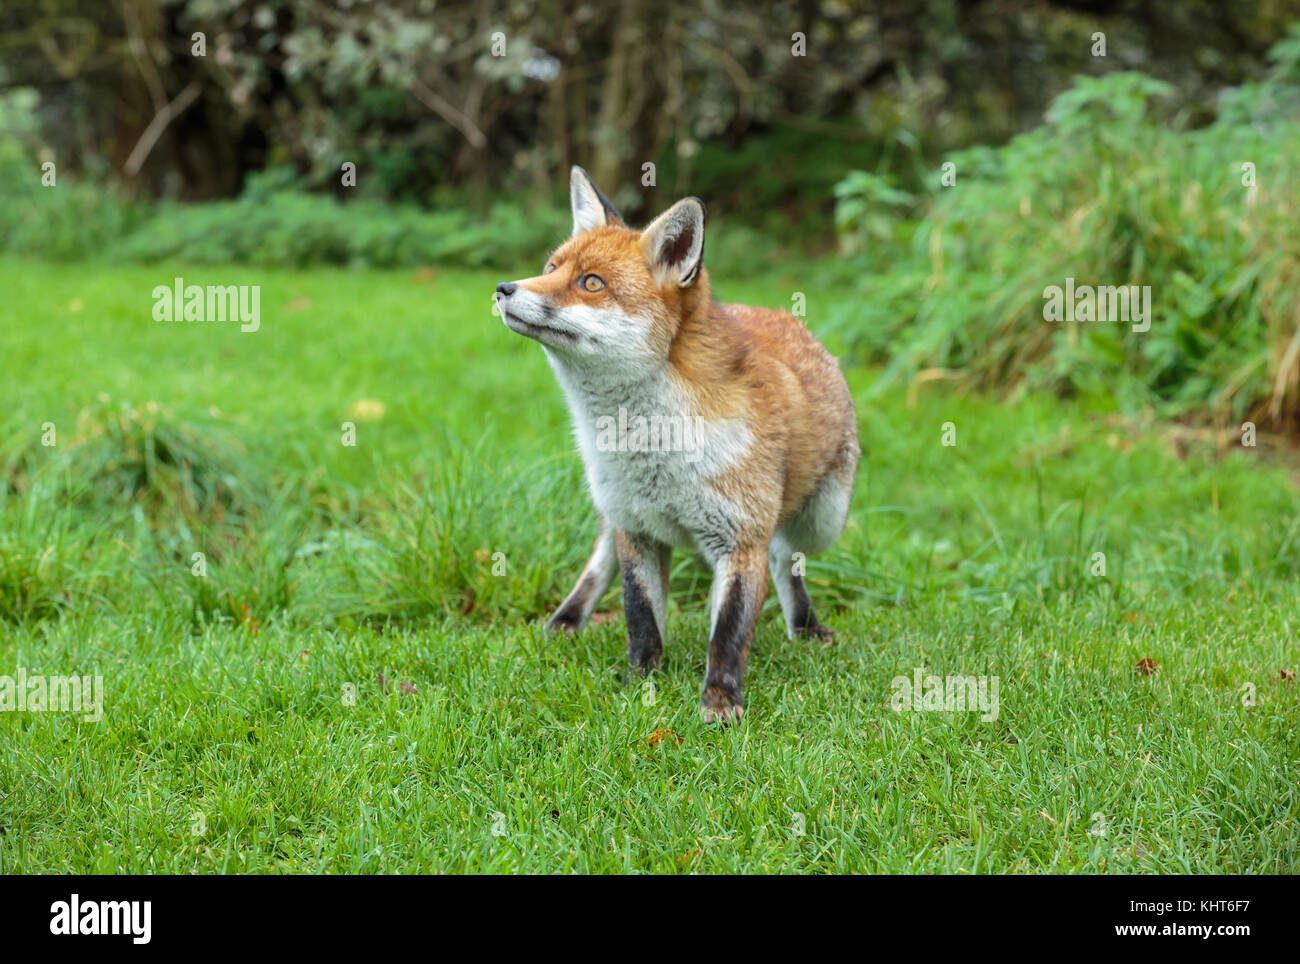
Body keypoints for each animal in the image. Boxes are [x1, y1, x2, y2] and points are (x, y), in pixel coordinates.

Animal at [494, 166, 859, 722]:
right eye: (551, 268)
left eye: (591, 283)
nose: (503, 289)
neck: (653, 446)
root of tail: (785, 317)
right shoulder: (638, 529)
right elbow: (641, 618)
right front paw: (639, 685)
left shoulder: (741, 537)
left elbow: (728, 632)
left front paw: (721, 701)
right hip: (612, 507)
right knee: (600, 557)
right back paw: (567, 621)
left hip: (823, 520)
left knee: (785, 557)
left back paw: (804, 627)